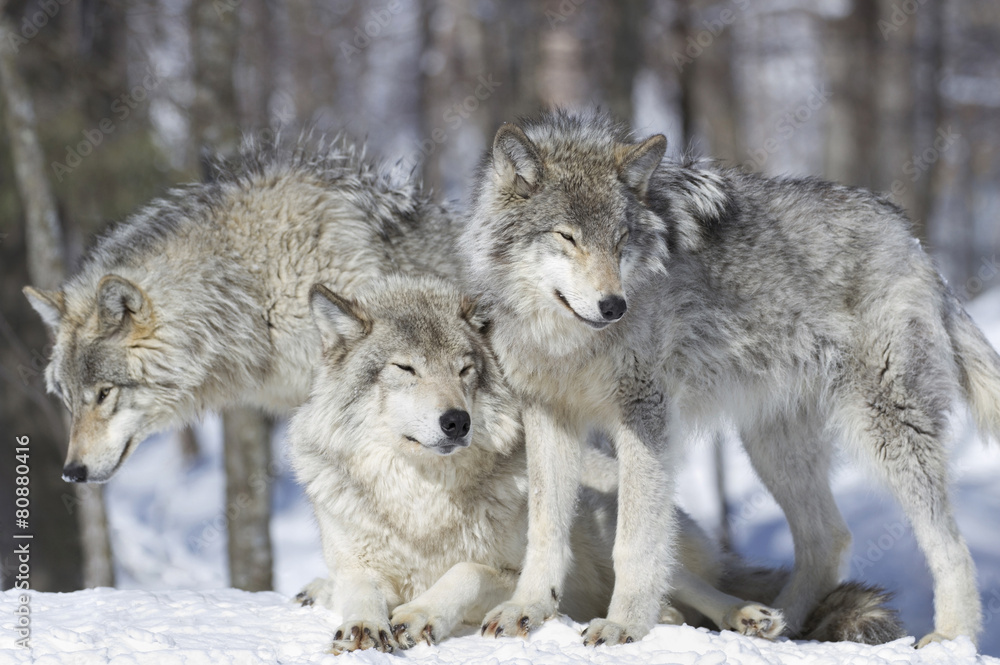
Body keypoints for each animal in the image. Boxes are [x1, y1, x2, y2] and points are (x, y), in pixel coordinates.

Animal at [289, 274, 903, 654]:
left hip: (616, 532)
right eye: (405, 369)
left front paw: (417, 615)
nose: (456, 422)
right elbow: (358, 589)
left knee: (692, 592)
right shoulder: (356, 562)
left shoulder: (514, 572)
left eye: (465, 371)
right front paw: (363, 624)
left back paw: (745, 615)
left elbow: (464, 571)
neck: (422, 502)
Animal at [461, 110, 1000, 647]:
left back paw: (951, 637)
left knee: (951, 545)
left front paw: (624, 625)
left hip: (887, 432)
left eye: (620, 241)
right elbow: (546, 530)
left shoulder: (646, 416)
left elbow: (635, 541)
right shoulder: (549, 415)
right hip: (772, 448)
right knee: (831, 539)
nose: (614, 306)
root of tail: (912, 238)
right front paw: (528, 609)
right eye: (567, 237)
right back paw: (777, 627)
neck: (568, 342)